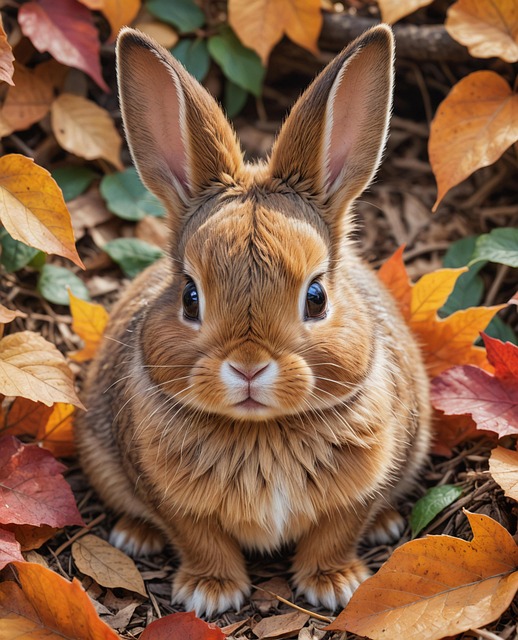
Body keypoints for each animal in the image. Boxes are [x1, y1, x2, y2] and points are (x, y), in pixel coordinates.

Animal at [75, 24, 431, 617]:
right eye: (190, 297)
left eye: (316, 298)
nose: (247, 368)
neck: (262, 430)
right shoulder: (170, 500)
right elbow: (199, 538)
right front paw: (210, 592)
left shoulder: (363, 486)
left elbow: (336, 532)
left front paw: (334, 584)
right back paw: (134, 535)